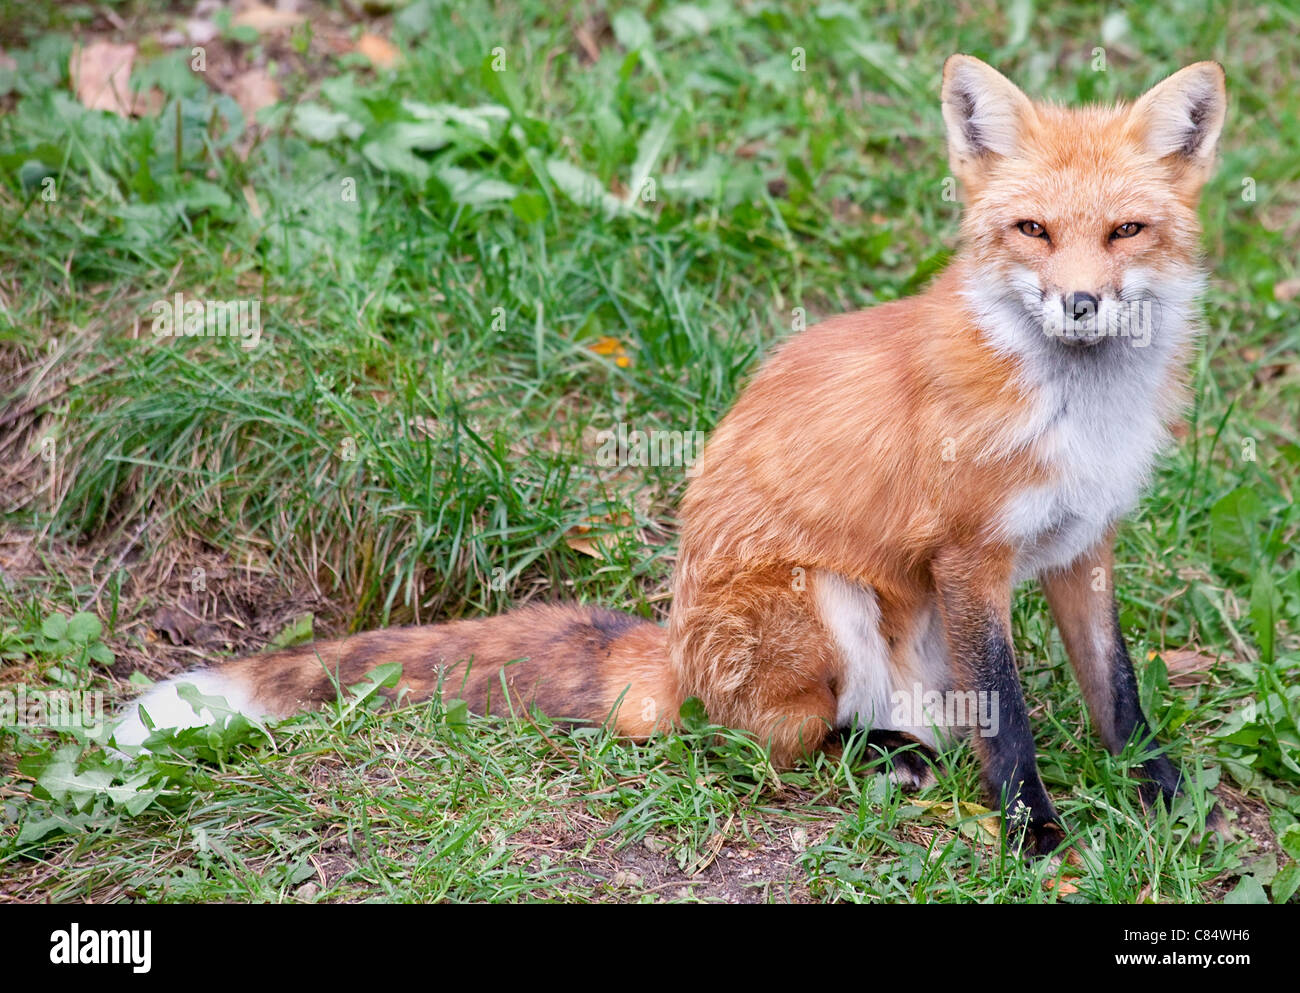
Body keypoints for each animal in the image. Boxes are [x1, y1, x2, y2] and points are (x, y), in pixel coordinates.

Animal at [113, 55, 1229, 855]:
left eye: (1125, 231)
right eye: (1031, 229)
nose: (1078, 302)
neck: (1076, 411)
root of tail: (673, 648)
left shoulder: (1083, 545)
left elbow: (1117, 690)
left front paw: (1163, 795)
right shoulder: (969, 559)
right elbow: (1007, 719)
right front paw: (1036, 836)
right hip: (823, 600)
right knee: (760, 740)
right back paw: (875, 755)